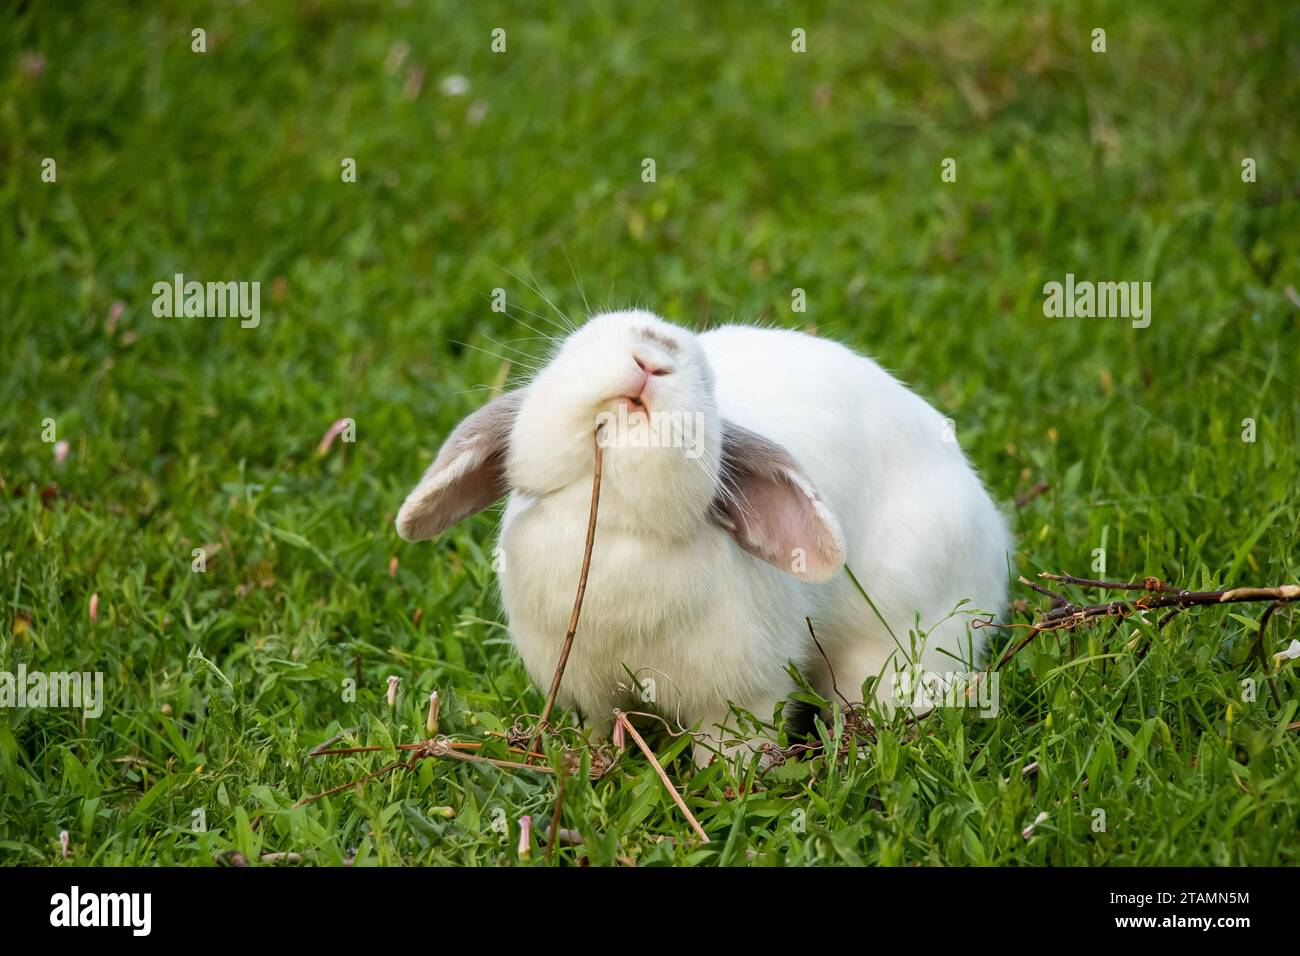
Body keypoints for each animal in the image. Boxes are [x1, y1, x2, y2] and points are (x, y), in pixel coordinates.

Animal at [396, 309, 1013, 764]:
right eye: (569, 351)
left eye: (708, 384)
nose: (655, 349)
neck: (614, 523)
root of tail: (994, 539)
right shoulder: (588, 689)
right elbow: (598, 727)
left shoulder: (742, 697)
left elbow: (731, 749)